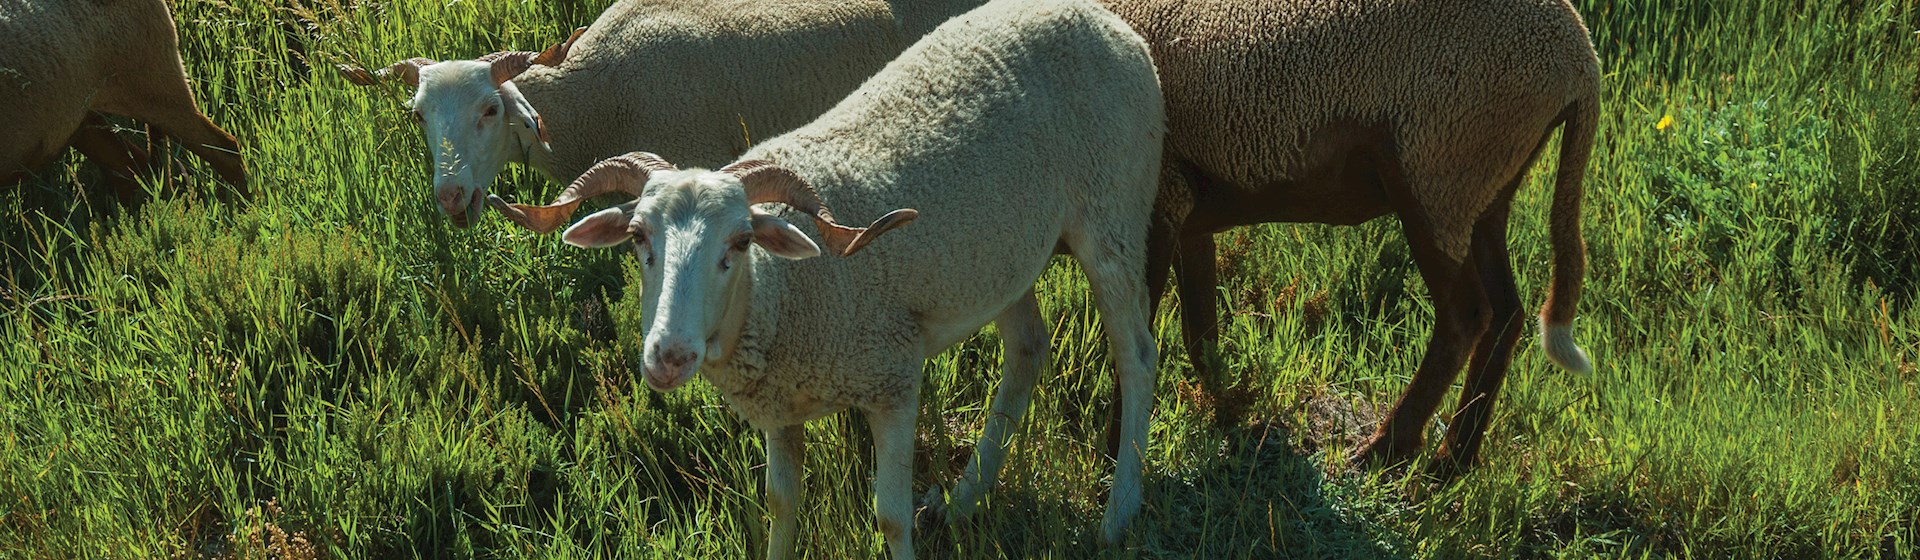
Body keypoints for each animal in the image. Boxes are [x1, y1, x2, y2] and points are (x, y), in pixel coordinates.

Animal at [512, 0, 1167, 555]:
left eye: (740, 243)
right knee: (1029, 350)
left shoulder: (893, 376)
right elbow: (781, 505)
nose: (668, 357)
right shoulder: (781, 407)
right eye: (638, 237)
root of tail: (1101, 18)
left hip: (1115, 211)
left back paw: (1119, 514)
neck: (782, 292)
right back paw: (964, 500)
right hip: (1004, 256)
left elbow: (890, 517)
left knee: (1136, 356)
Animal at [1097, 0, 1600, 472]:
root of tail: (1581, 61)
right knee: (1507, 315)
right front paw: (1228, 410)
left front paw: (1116, 459)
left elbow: (1135, 343)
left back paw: (1383, 449)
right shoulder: (1184, 206)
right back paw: (1451, 461)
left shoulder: (1153, 198)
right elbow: (1201, 330)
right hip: (1484, 190)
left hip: (1434, 167)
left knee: (1467, 317)